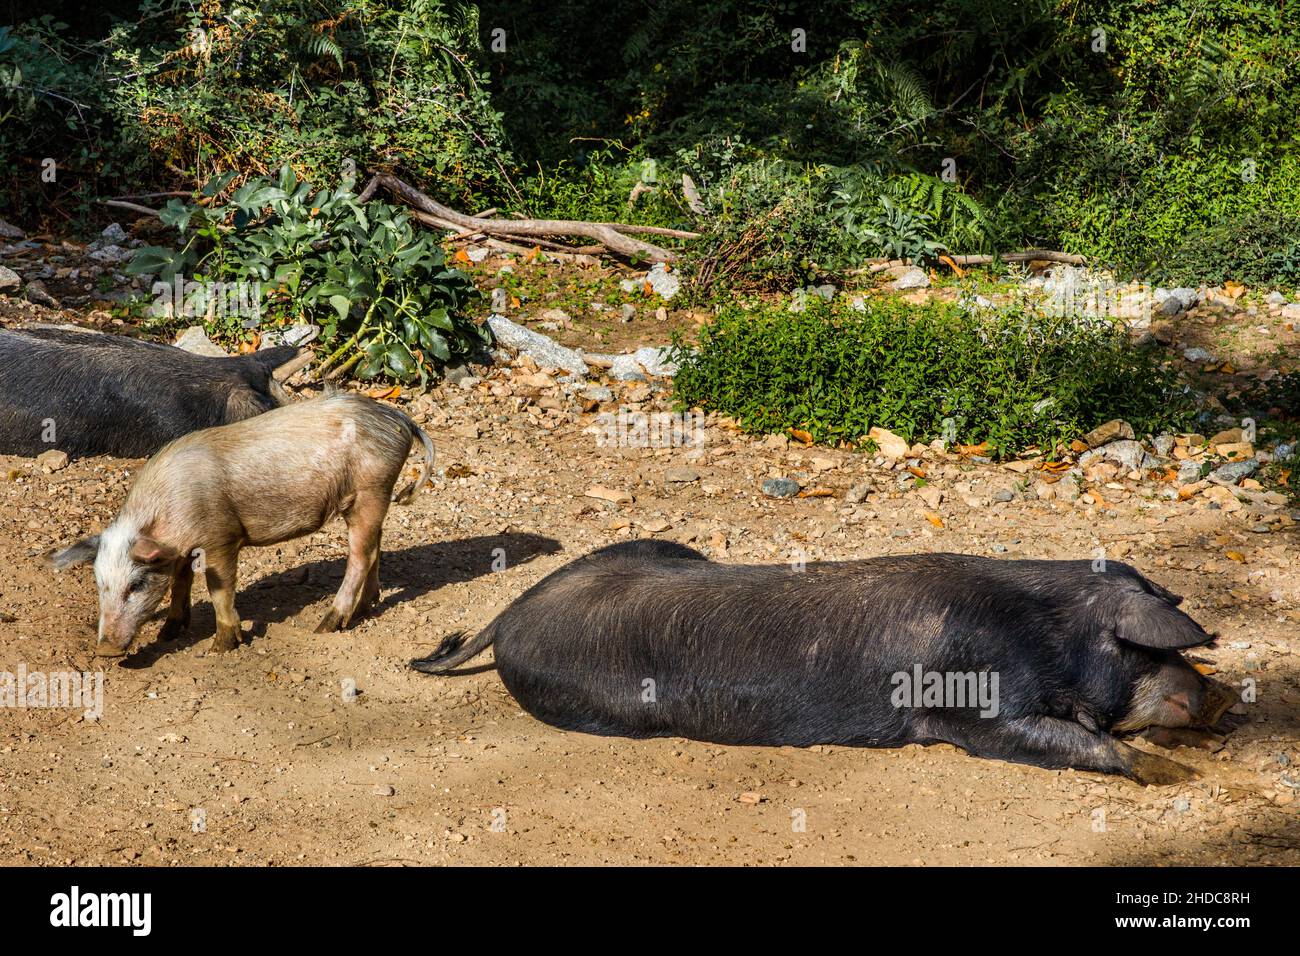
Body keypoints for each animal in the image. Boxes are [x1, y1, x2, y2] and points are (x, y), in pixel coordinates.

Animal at [53, 391, 434, 656]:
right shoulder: (181, 550)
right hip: (371, 497)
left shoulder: (221, 537)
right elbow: (181, 581)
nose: (105, 649)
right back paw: (367, 606)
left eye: (136, 584)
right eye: (100, 584)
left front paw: (218, 648)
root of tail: (399, 417)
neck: (169, 512)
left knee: (360, 555)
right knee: (375, 545)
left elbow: (218, 589)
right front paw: (169, 632)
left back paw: (324, 626)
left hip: (371, 488)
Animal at [412, 542, 1236, 785]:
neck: (1045, 631)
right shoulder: (971, 707)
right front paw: (1170, 773)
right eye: (1143, 648)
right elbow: (1060, 739)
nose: (1219, 698)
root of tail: (513, 612)